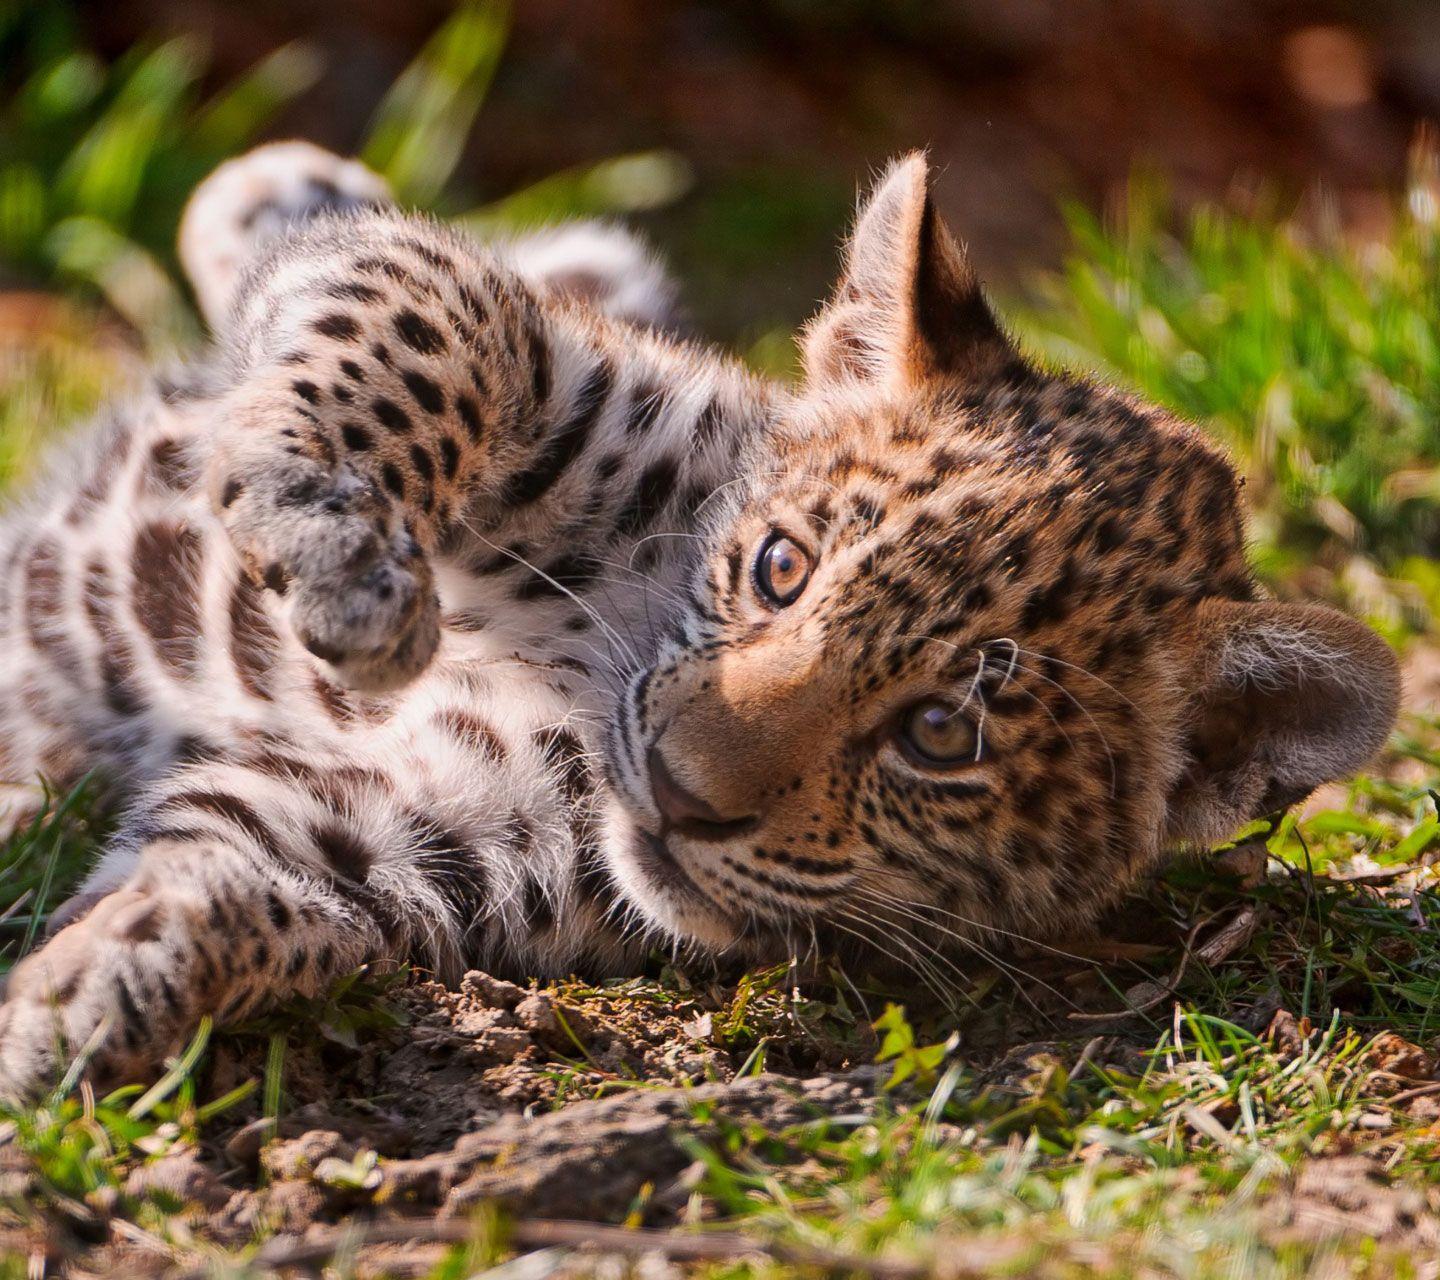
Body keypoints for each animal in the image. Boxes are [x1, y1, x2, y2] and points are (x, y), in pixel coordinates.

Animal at [0, 141, 1400, 1098]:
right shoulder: (568, 378)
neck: (607, 652)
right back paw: (286, 188)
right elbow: (434, 316)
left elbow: (257, 875)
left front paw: (95, 985)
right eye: (781, 567)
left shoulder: (430, 836)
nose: (677, 789)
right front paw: (338, 556)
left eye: (941, 735)